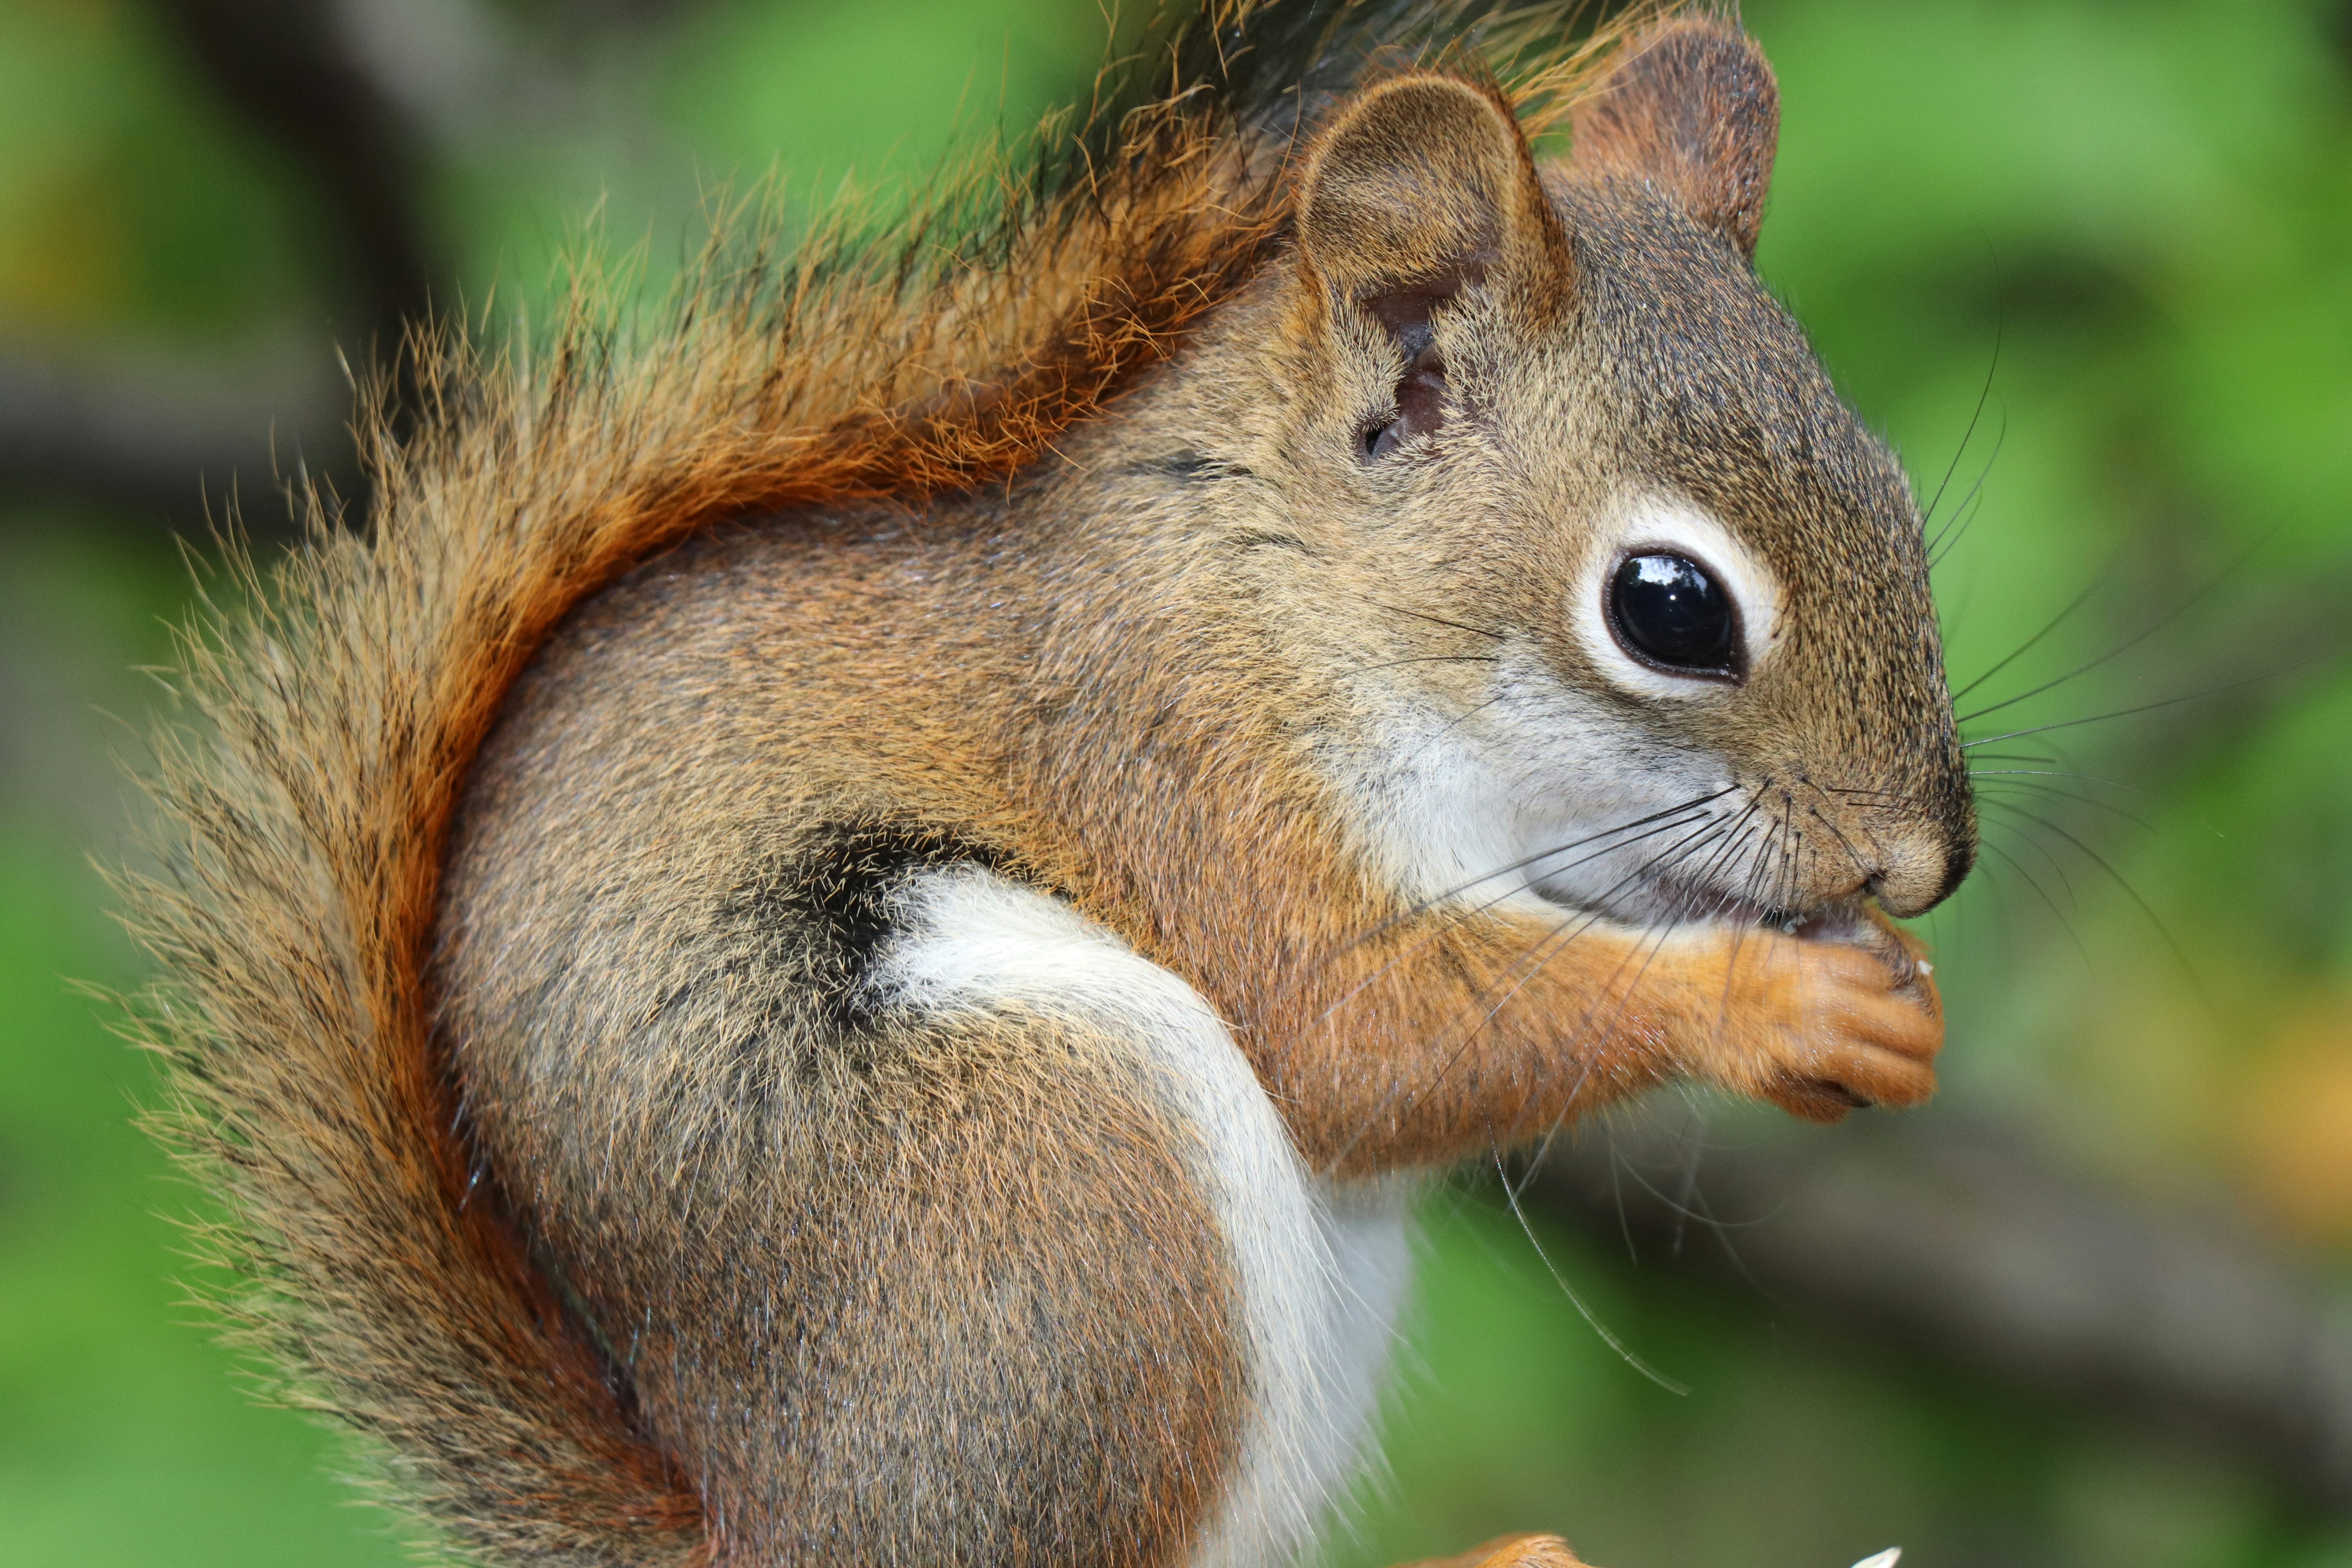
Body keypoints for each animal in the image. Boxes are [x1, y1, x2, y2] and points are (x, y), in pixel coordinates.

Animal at [122, 1, 1974, 1565]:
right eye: (1667, 607)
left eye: (1897, 496)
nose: (1922, 864)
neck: (1289, 577)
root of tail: (766, 1527)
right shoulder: (1175, 751)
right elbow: (1361, 1031)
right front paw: (1776, 1003)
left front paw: (1893, 991)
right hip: (1064, 1187)